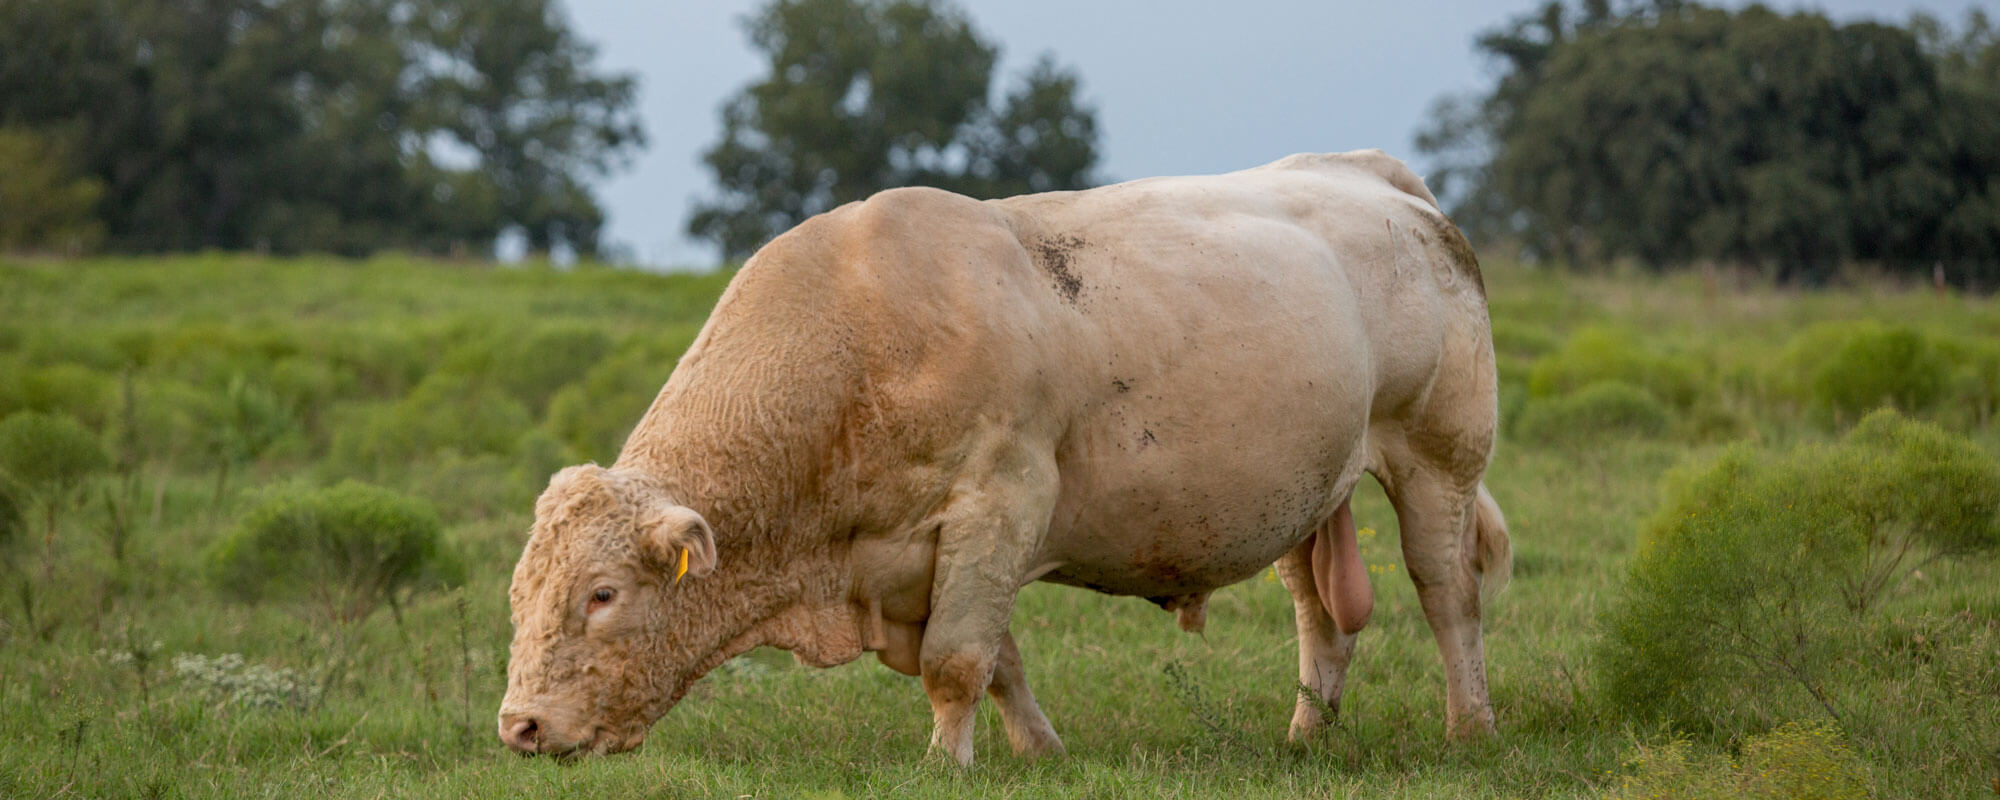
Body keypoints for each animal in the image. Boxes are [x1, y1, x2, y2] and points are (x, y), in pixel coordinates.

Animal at [499, 149, 1512, 765]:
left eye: (601, 595)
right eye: (520, 595)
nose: (520, 724)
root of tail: (1376, 175)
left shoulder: (1002, 498)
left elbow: (957, 659)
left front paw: (943, 764)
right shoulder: (939, 551)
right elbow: (999, 658)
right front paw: (1039, 753)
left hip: (1439, 456)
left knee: (1446, 594)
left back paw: (1471, 728)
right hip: (1309, 493)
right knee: (1321, 614)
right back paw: (1307, 736)